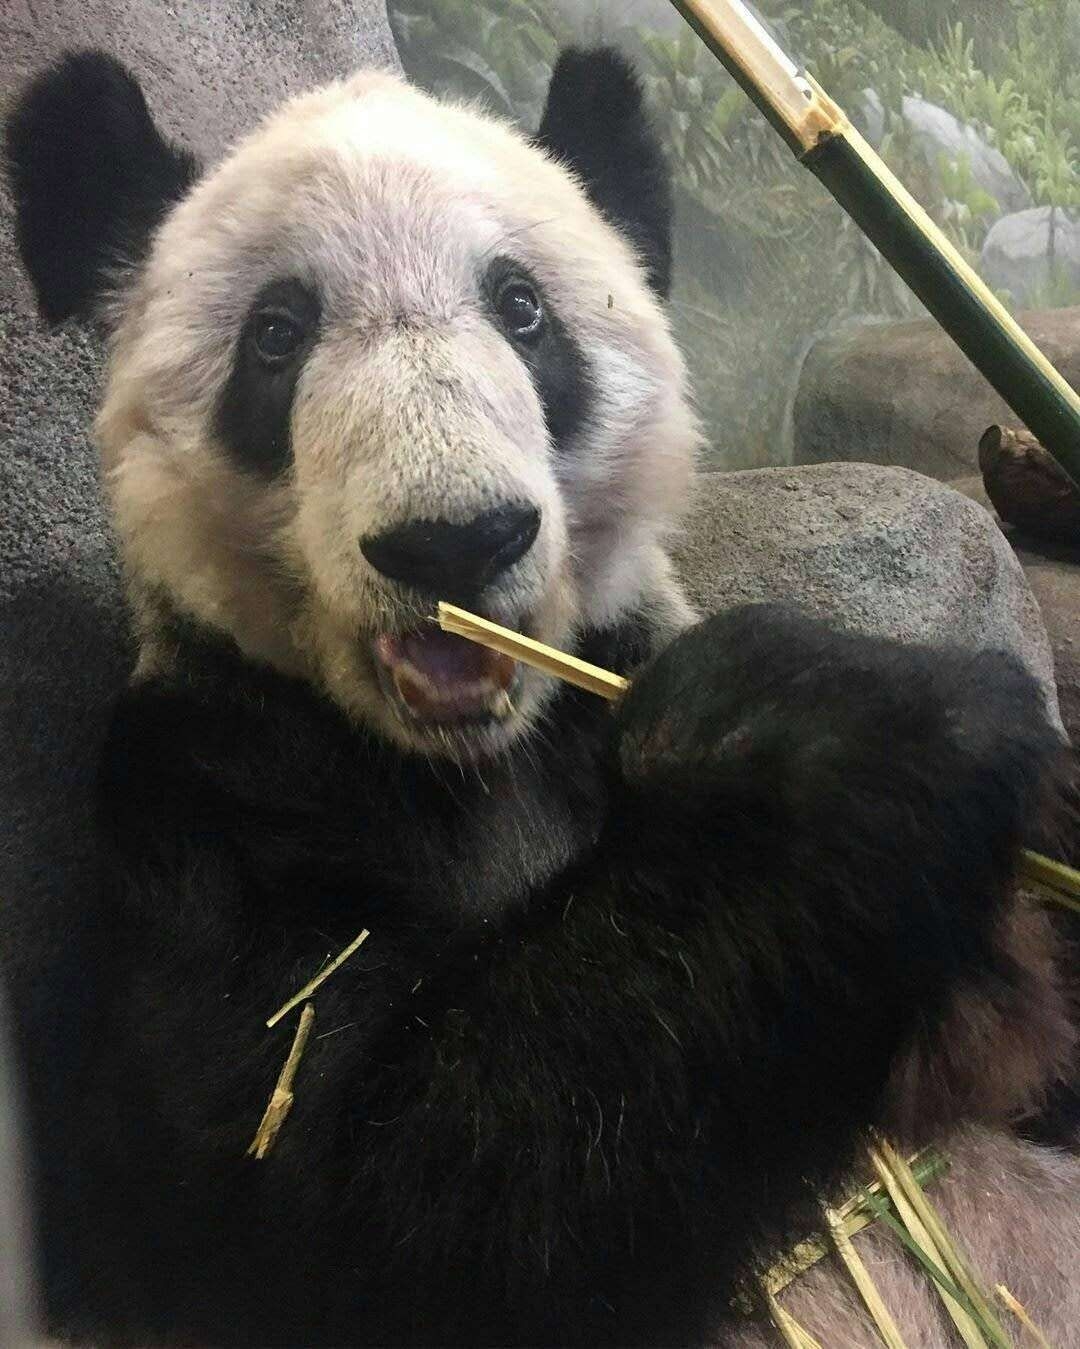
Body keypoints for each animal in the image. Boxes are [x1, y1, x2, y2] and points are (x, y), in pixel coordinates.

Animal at [4, 43, 1080, 1349]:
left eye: (522, 310)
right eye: (276, 334)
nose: (455, 541)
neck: (475, 759)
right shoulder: (204, 795)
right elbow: (351, 1191)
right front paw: (838, 735)